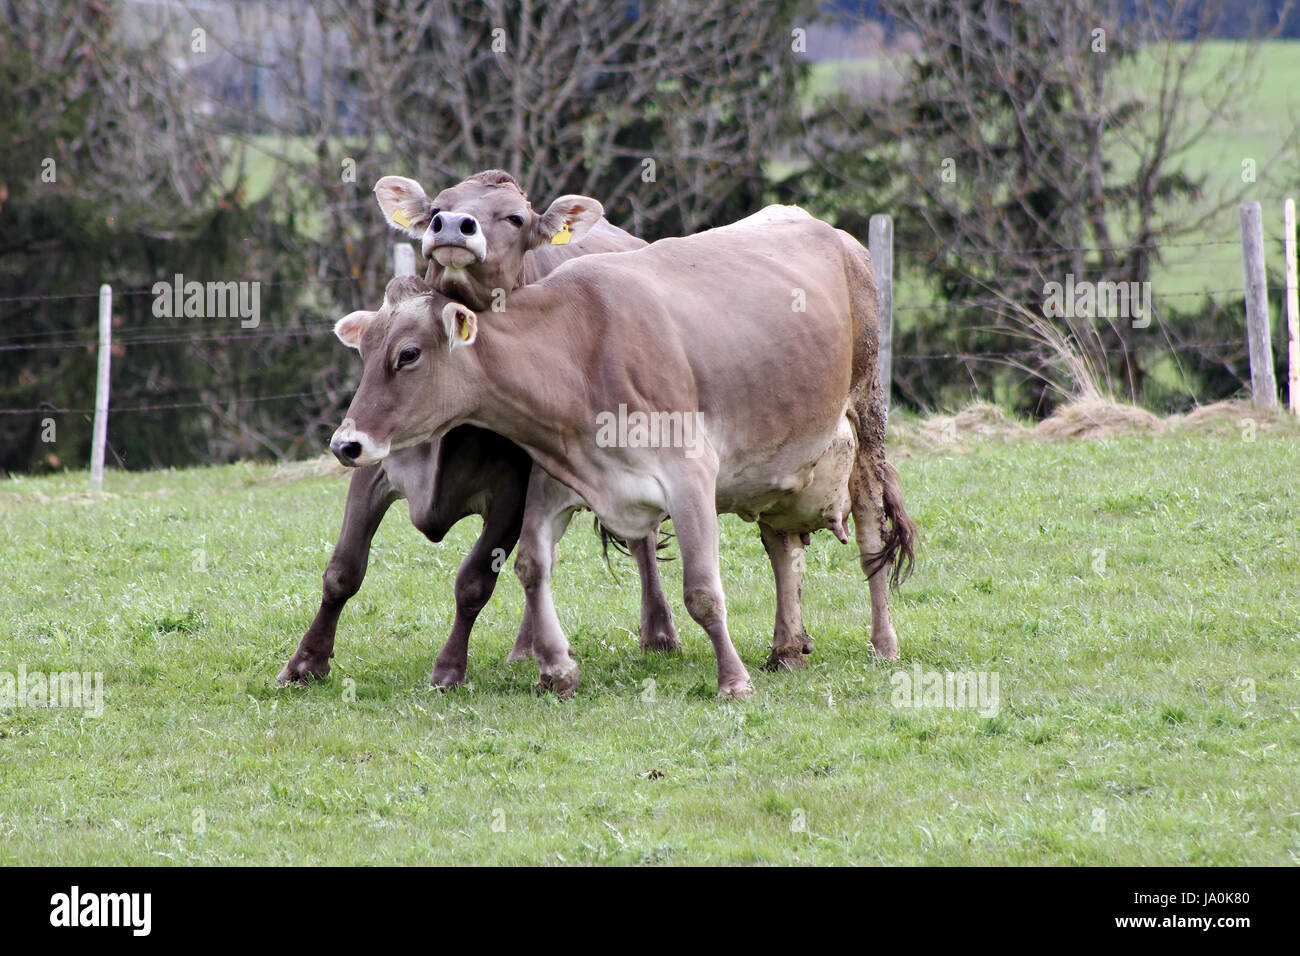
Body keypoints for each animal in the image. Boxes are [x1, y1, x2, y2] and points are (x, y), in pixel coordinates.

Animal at [278, 170, 679, 690]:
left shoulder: (513, 489)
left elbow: (474, 581)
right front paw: (307, 661)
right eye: (436, 208)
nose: (452, 225)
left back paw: (658, 632)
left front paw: (449, 668)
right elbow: (343, 570)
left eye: (516, 218)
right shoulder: (373, 465)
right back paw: (529, 647)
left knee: (638, 537)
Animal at [325, 213, 917, 698]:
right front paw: (557, 669)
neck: (579, 354)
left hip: (866, 417)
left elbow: (702, 590)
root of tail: (838, 236)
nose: (345, 444)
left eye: (407, 355)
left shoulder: (689, 472)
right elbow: (530, 565)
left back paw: (883, 643)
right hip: (779, 465)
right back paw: (787, 647)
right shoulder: (559, 479)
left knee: (870, 535)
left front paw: (733, 682)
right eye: (364, 352)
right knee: (782, 547)